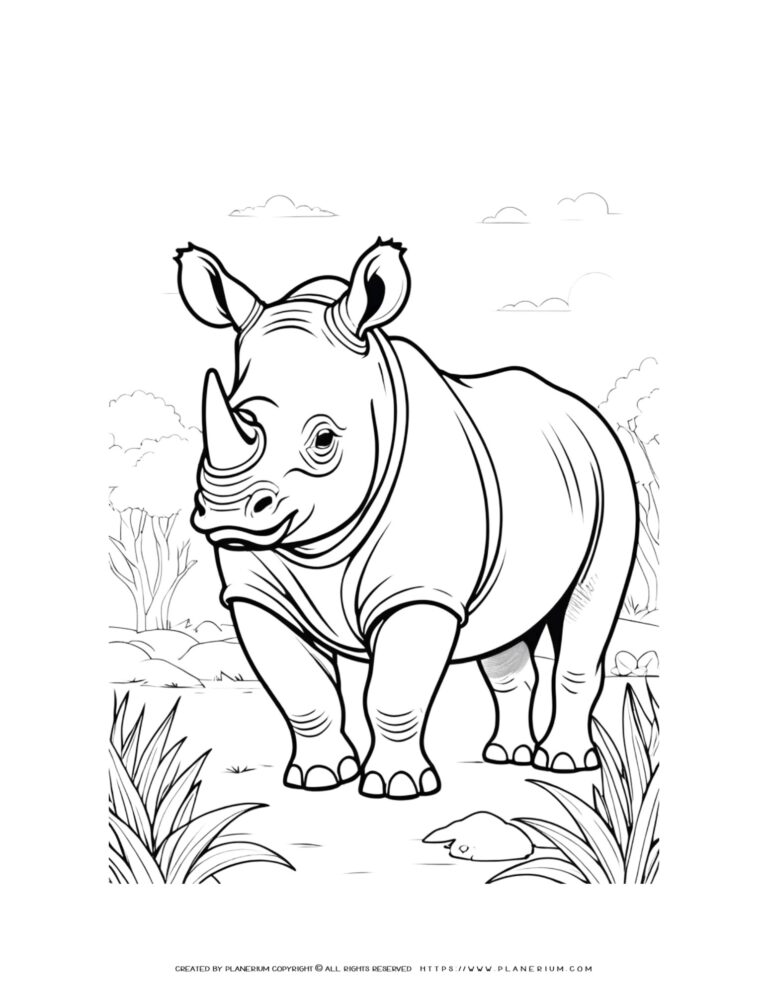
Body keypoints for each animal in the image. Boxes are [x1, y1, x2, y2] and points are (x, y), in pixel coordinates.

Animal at [175, 239, 638, 799]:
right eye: (235, 415)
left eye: (324, 440)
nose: (226, 514)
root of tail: (582, 412)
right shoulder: (257, 592)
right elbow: (302, 691)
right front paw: (319, 778)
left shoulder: (420, 589)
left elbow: (393, 692)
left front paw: (397, 787)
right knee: (505, 630)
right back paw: (506, 756)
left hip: (612, 477)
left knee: (587, 609)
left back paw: (563, 764)